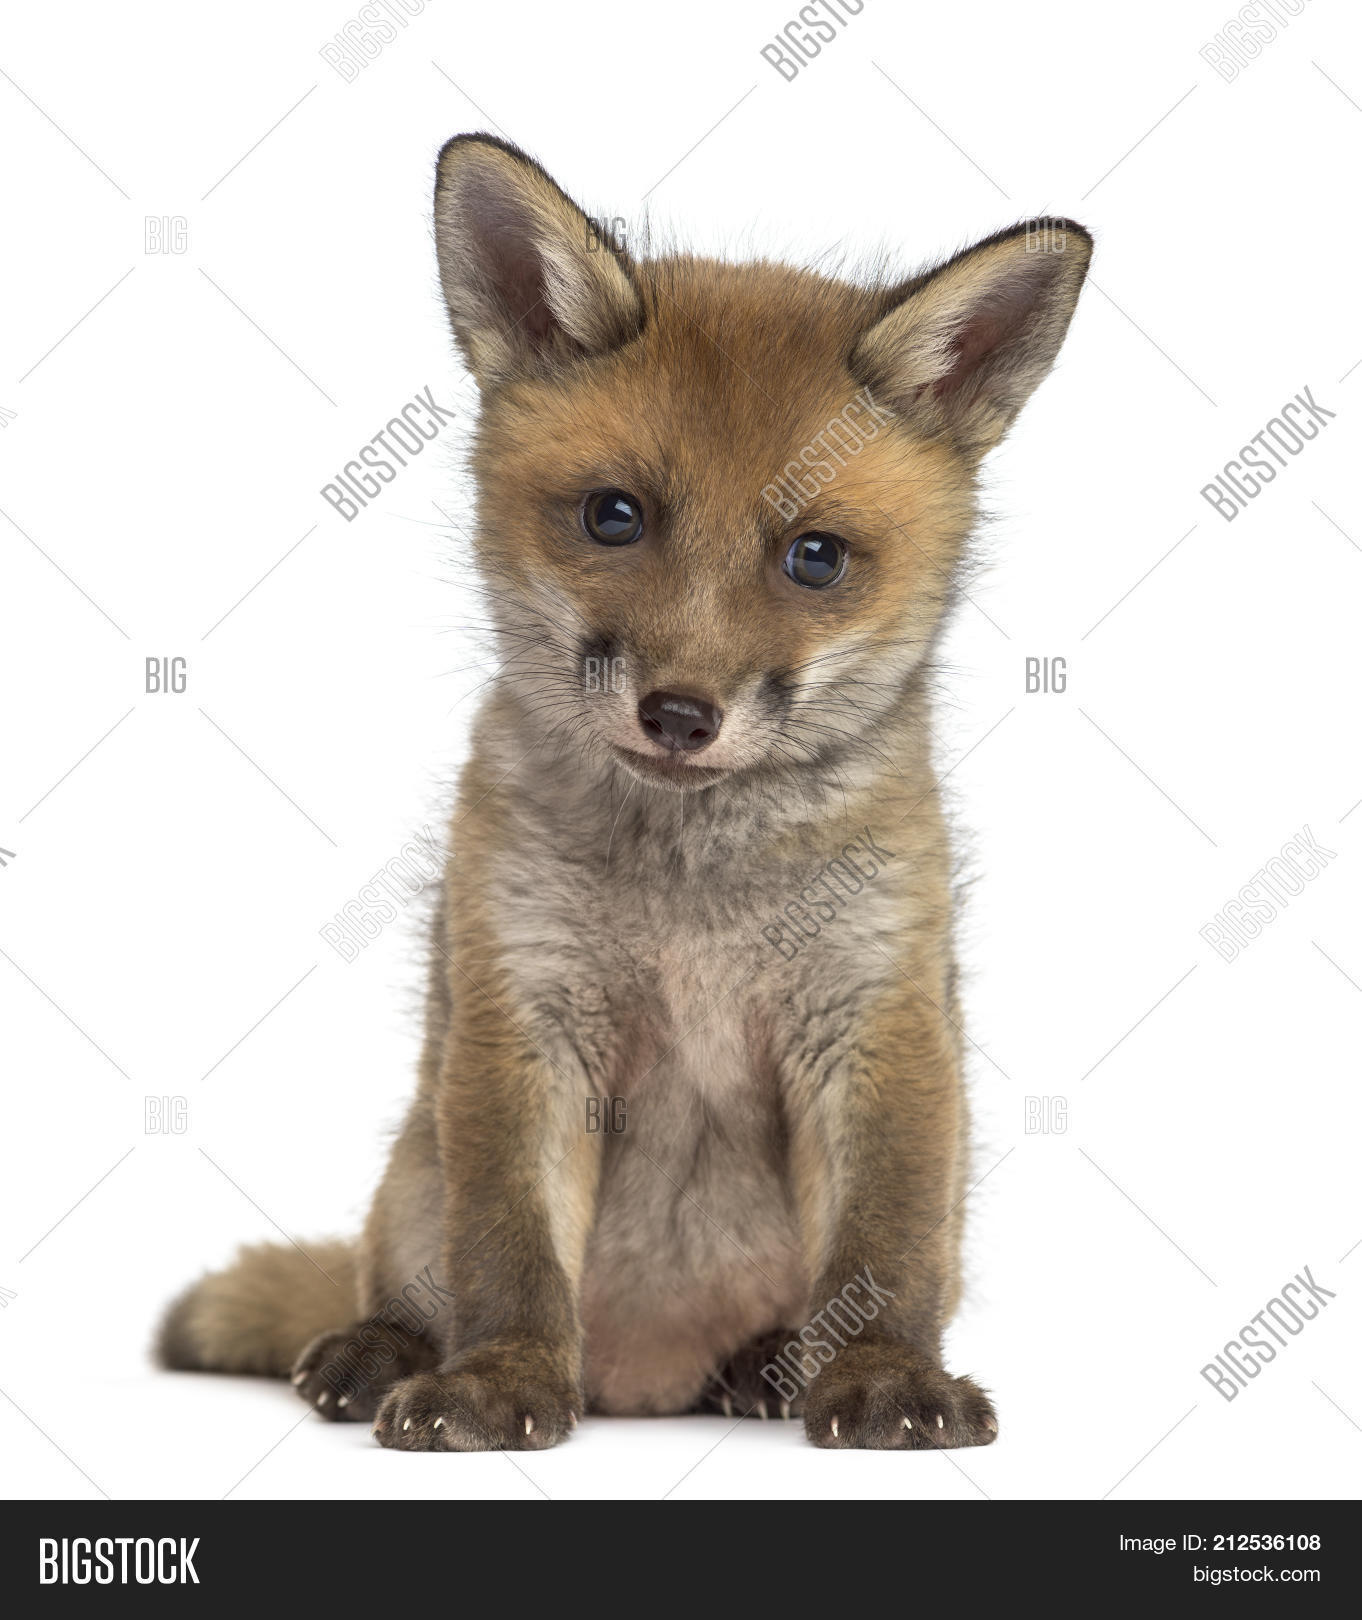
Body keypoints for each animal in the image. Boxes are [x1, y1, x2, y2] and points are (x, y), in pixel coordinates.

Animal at [158, 133, 1091, 1450]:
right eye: (616, 517)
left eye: (814, 557)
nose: (681, 715)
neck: (691, 901)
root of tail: (642, 1384)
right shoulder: (523, 1011)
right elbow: (510, 1250)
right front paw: (498, 1382)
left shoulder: (878, 1015)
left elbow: (885, 1250)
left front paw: (884, 1379)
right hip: (415, 1167)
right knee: (394, 1278)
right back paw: (379, 1352)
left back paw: (770, 1368)